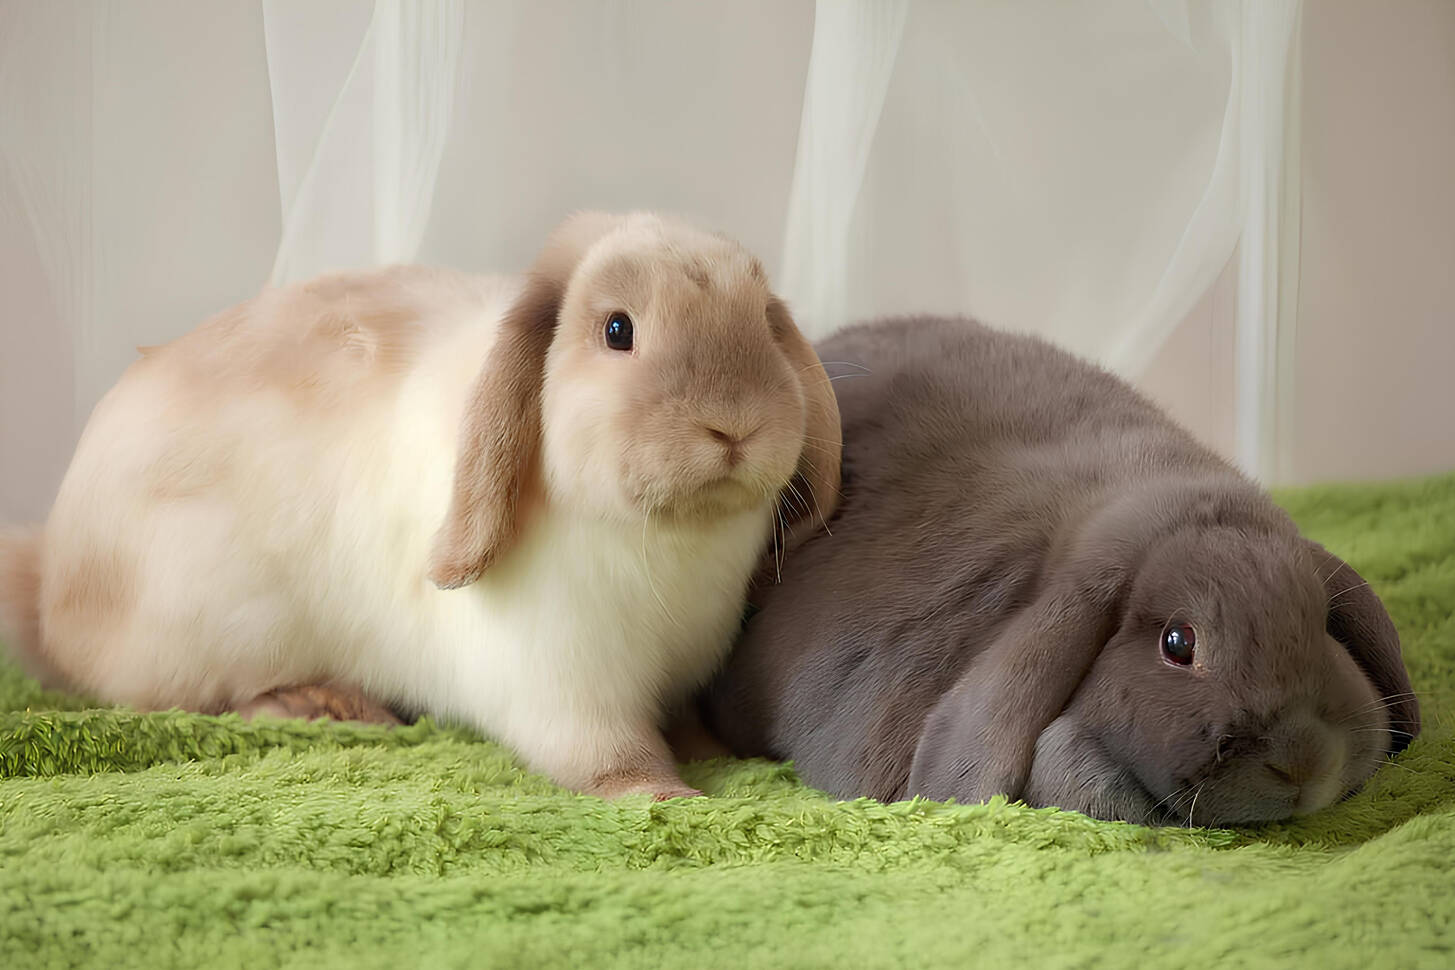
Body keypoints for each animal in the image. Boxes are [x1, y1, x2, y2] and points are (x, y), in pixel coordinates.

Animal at [0, 211, 842, 800]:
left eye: (764, 323)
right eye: (616, 330)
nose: (733, 423)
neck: (671, 544)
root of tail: (51, 578)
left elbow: (691, 724)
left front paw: (716, 754)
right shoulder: (566, 685)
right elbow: (606, 757)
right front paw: (668, 795)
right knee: (211, 703)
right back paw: (328, 705)